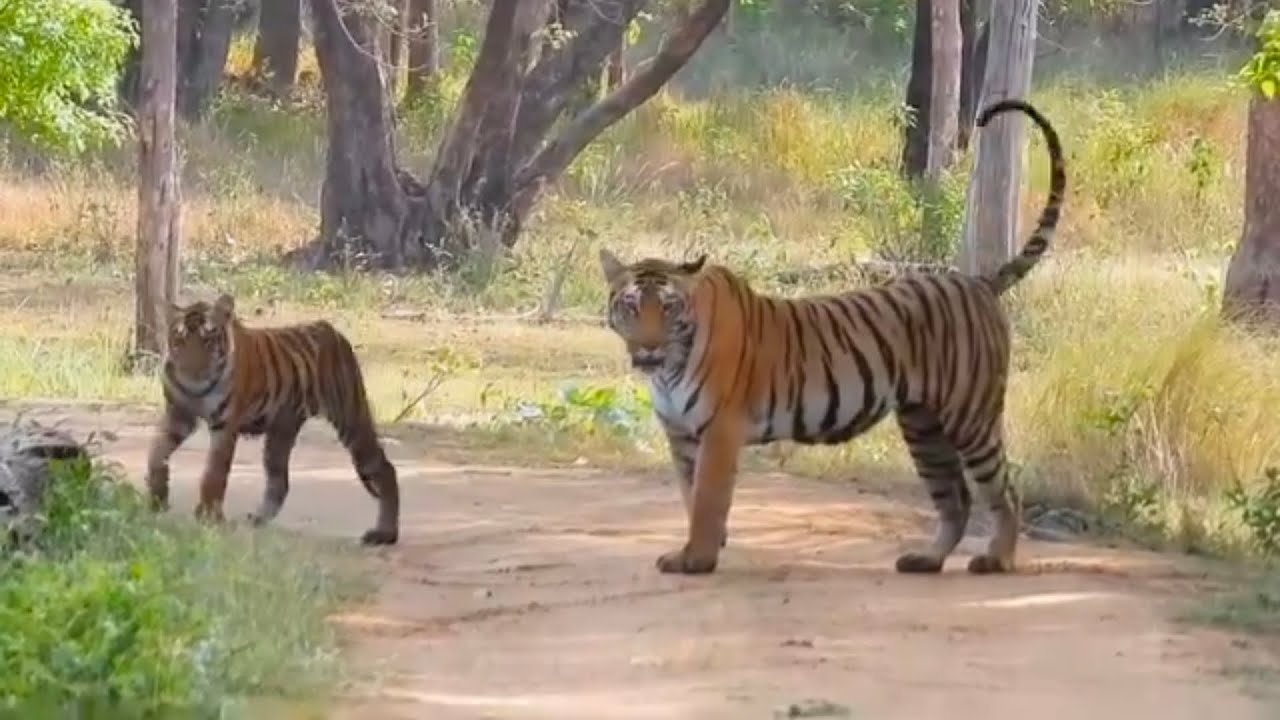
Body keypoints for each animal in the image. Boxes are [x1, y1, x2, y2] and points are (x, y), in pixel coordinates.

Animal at [144, 294, 400, 546]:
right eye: (180, 341)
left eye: (208, 341)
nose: (193, 372)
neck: (196, 390)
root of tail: (332, 331)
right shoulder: (178, 415)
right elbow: (156, 453)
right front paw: (157, 497)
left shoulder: (224, 426)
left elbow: (214, 473)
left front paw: (209, 517)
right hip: (281, 432)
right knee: (280, 481)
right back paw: (258, 518)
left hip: (351, 419)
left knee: (384, 468)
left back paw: (384, 533)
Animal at [599, 98, 1065, 576]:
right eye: (631, 307)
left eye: (668, 308)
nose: (649, 346)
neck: (669, 370)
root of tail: (980, 282)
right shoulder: (681, 435)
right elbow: (689, 495)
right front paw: (699, 549)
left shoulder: (719, 431)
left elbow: (708, 499)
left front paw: (697, 558)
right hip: (923, 425)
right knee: (955, 497)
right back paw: (926, 559)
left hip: (971, 416)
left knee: (1004, 490)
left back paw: (997, 558)